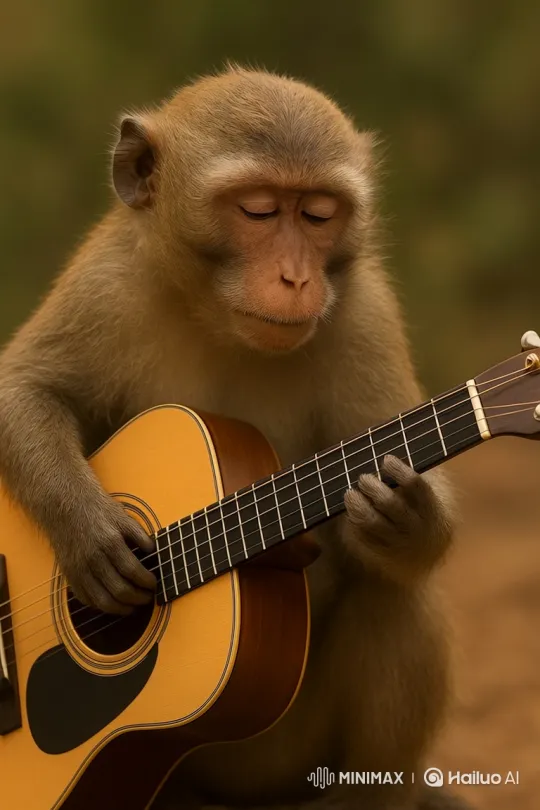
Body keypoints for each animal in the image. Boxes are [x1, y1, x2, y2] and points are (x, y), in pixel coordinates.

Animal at [0, 66, 473, 810]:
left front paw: (406, 513)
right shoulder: (108, 280)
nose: (295, 277)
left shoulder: (364, 312)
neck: (217, 319)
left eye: (319, 214)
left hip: (289, 758)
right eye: (257, 210)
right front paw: (87, 533)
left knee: (394, 597)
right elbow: (21, 389)